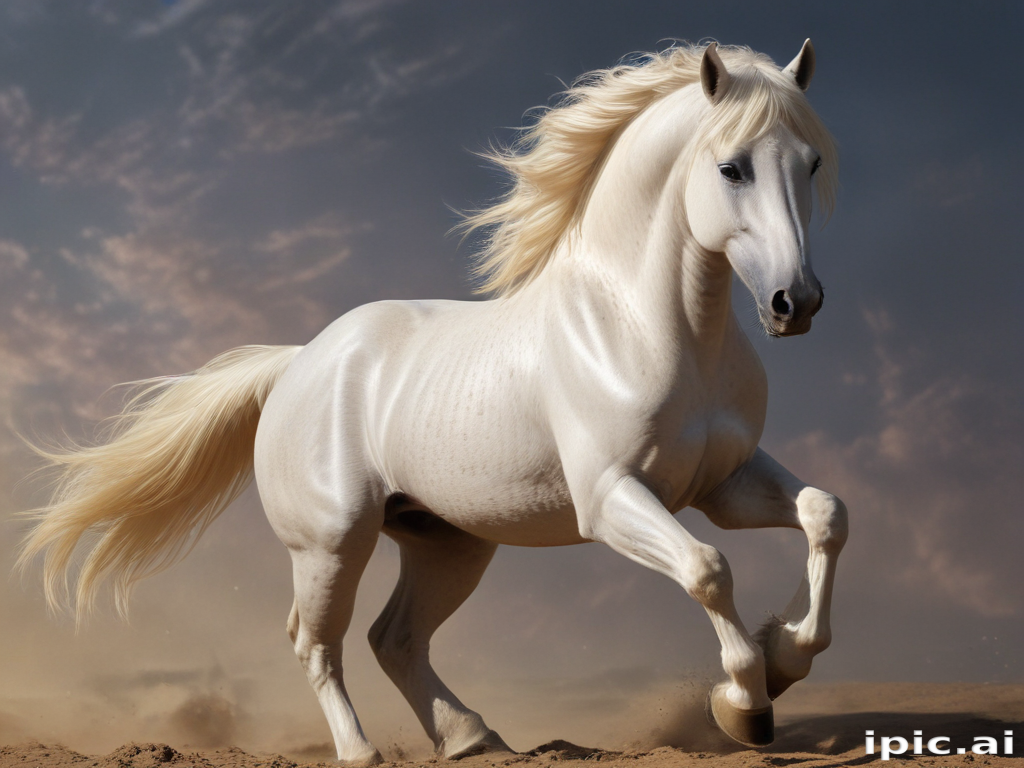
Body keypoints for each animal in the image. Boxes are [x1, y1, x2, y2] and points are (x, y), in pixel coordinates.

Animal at [19, 40, 847, 764]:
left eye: (810, 163)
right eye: (731, 167)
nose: (795, 303)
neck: (640, 325)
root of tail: (297, 364)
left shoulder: (722, 484)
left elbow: (824, 514)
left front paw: (784, 658)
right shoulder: (613, 498)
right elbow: (708, 568)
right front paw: (744, 707)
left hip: (447, 542)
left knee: (395, 638)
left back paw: (474, 737)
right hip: (332, 544)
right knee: (315, 641)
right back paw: (361, 752)